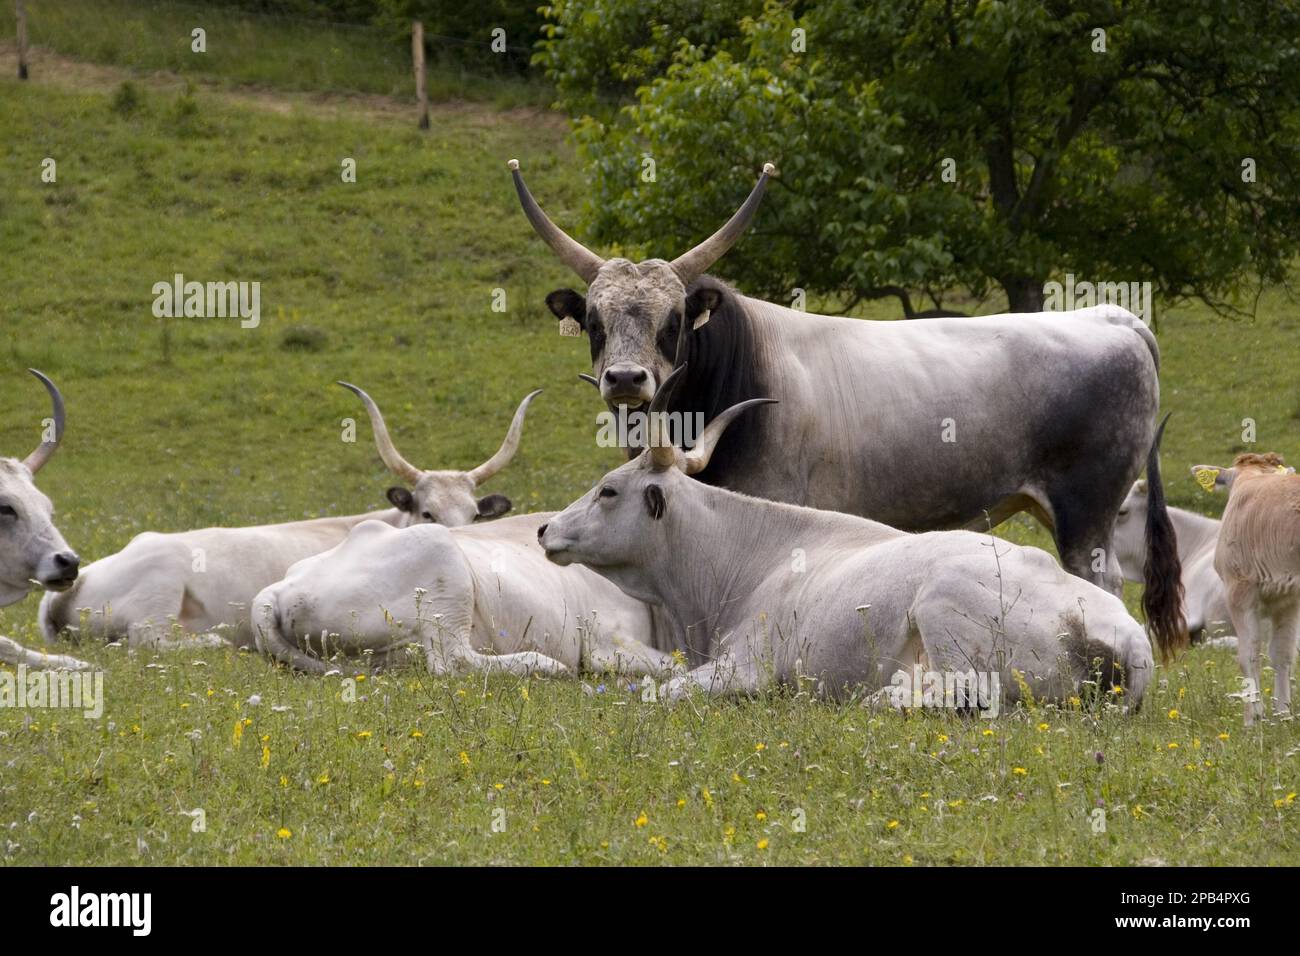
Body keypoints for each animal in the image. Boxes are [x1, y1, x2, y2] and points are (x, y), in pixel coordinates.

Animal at [537, 367, 1154, 707]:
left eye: (609, 490)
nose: (545, 528)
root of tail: (1126, 638)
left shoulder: (745, 668)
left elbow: (655, 692)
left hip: (944, 611)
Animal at [1190, 453, 1300, 724]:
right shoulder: (1288, 598)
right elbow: (1282, 653)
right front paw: (1282, 714)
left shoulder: (1238, 590)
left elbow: (1248, 653)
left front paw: (1253, 717)